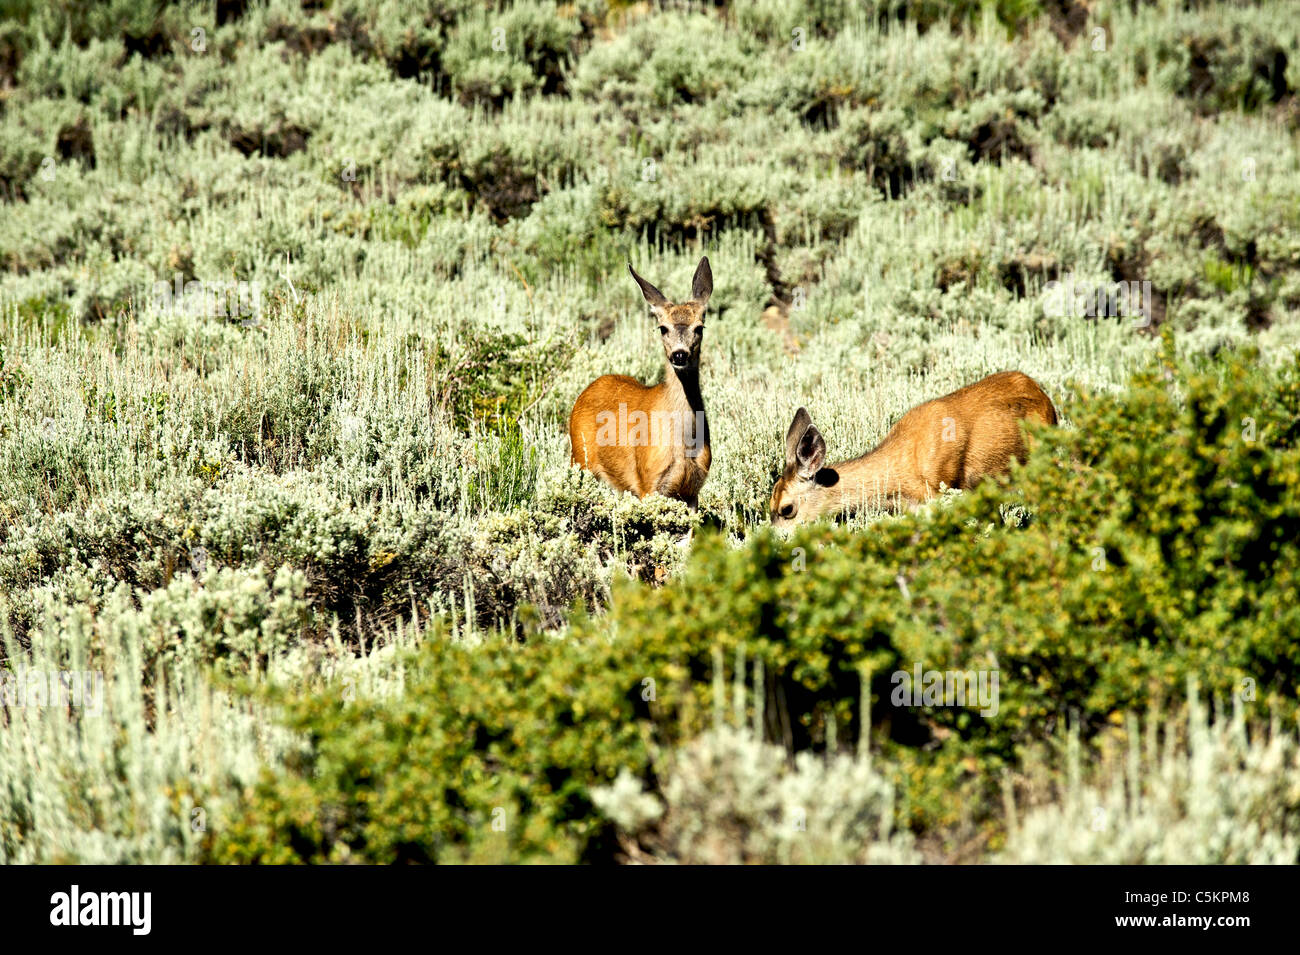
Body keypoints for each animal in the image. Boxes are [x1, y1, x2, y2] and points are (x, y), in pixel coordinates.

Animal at [569, 257, 713, 508]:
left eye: (699, 327)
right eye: (663, 328)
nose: (679, 355)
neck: (683, 445)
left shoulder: (692, 490)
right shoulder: (648, 482)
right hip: (579, 459)